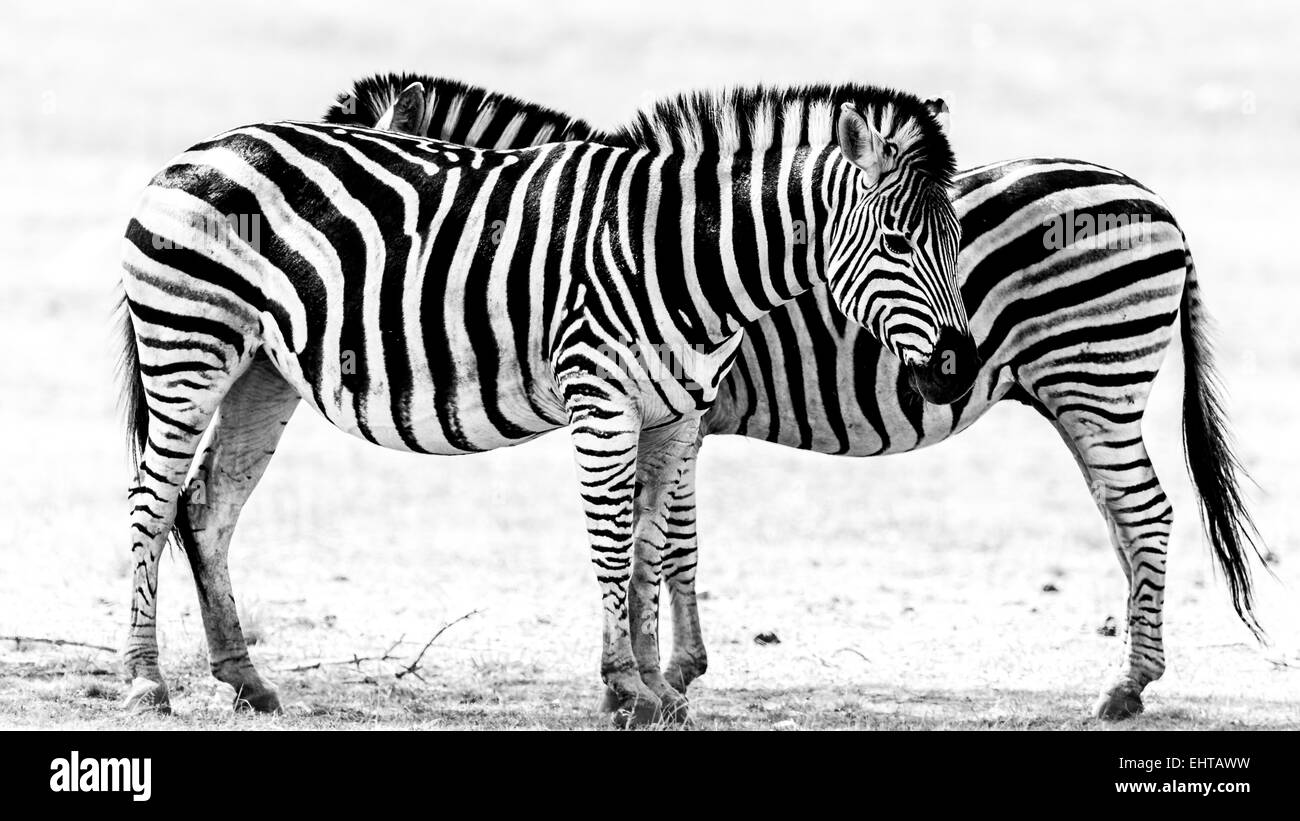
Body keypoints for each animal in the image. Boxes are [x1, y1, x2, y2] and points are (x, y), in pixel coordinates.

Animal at [114, 82, 974, 726]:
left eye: (955, 239)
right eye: (897, 242)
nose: (959, 370)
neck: (677, 251)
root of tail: (202, 148)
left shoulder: (675, 414)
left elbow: (651, 544)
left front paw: (653, 689)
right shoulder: (603, 398)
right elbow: (613, 543)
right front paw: (626, 688)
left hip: (262, 371)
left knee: (206, 505)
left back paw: (245, 679)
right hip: (186, 345)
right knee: (151, 501)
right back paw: (145, 682)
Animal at [357, 74, 1265, 720]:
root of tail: (1159, 203)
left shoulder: (686, 406)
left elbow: (668, 540)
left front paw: (667, 679)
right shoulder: (678, 409)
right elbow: (671, 536)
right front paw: (670, 675)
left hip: (1095, 379)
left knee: (1146, 513)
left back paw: (1126, 687)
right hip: (1081, 394)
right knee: (1124, 519)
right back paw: (1130, 672)